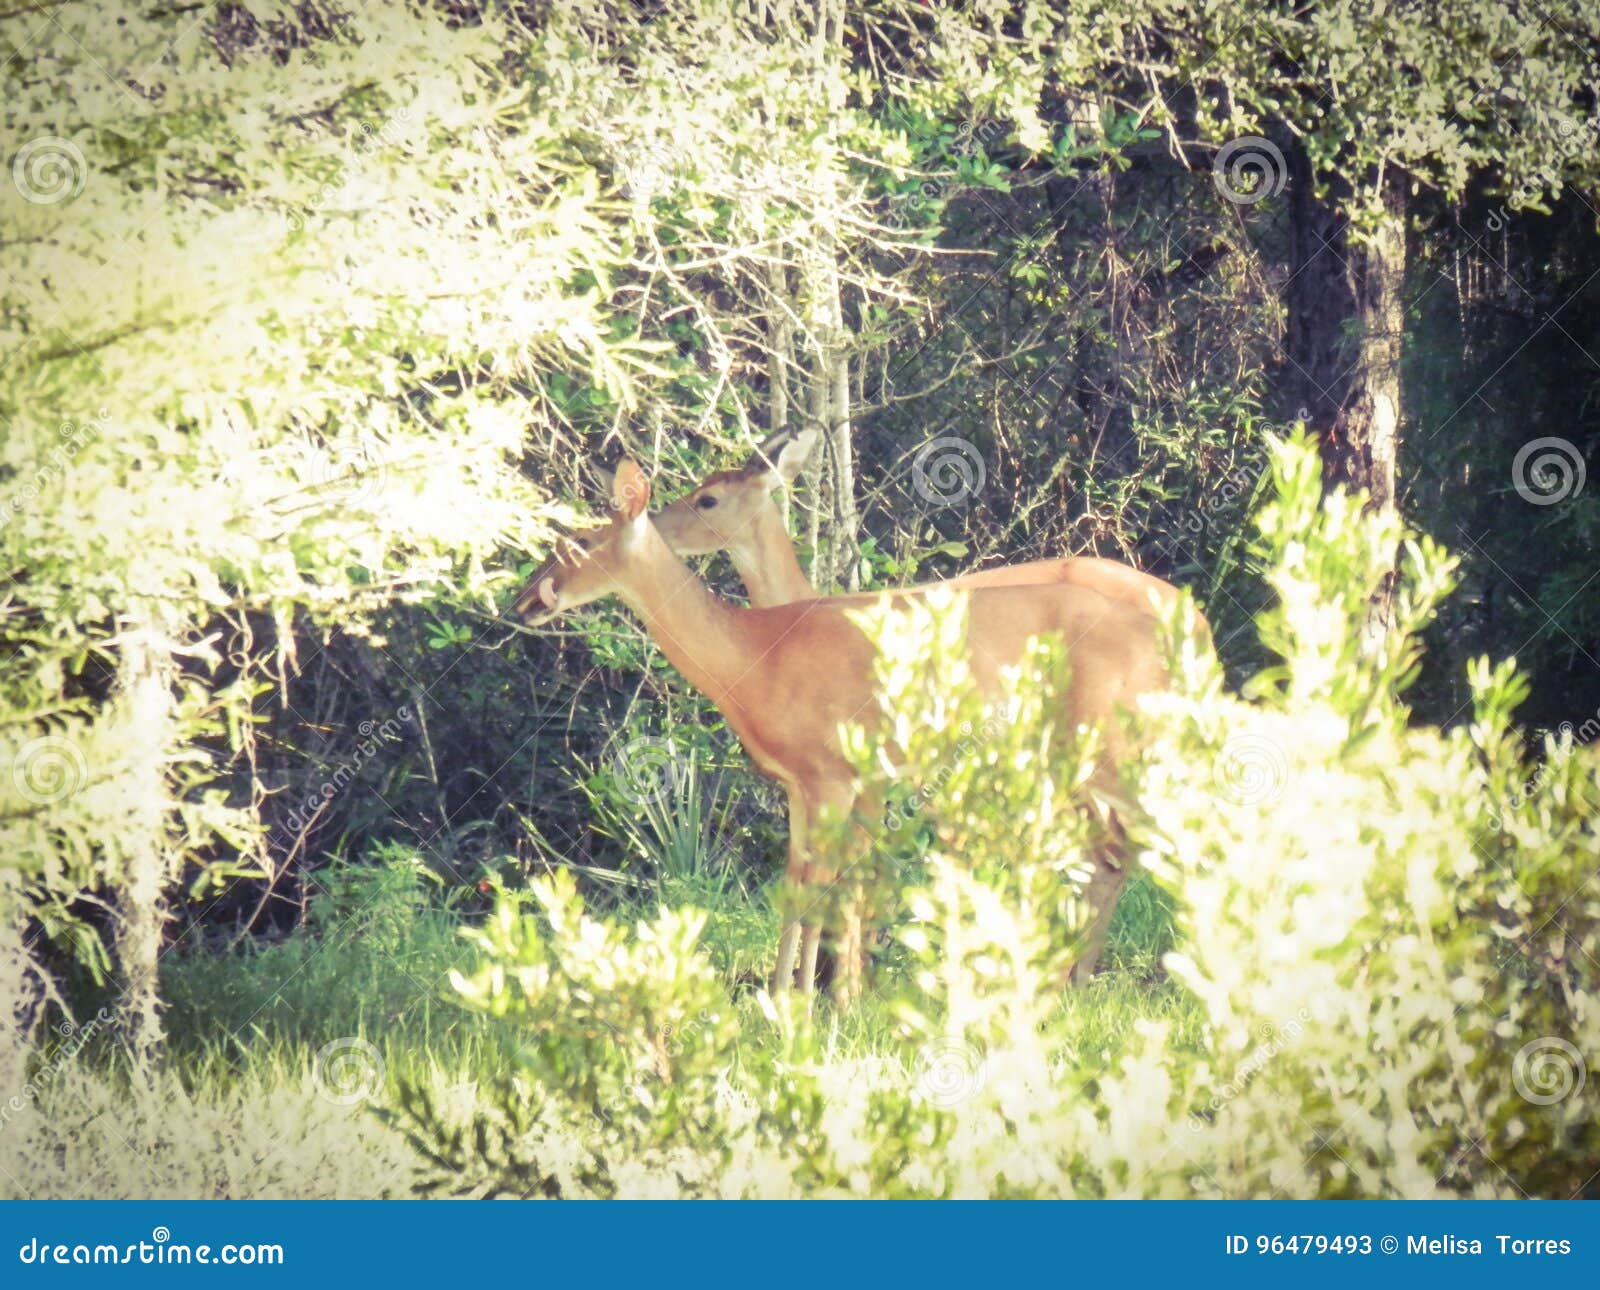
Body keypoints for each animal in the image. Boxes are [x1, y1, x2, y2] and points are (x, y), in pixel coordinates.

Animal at [514, 458, 1181, 1005]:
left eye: (579, 540)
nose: (525, 601)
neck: (754, 659)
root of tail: (1175, 632)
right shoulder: (804, 785)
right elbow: (796, 880)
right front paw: (783, 996)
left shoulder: (840, 775)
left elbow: (825, 882)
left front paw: (814, 1004)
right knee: (1111, 852)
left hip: (1113, 746)